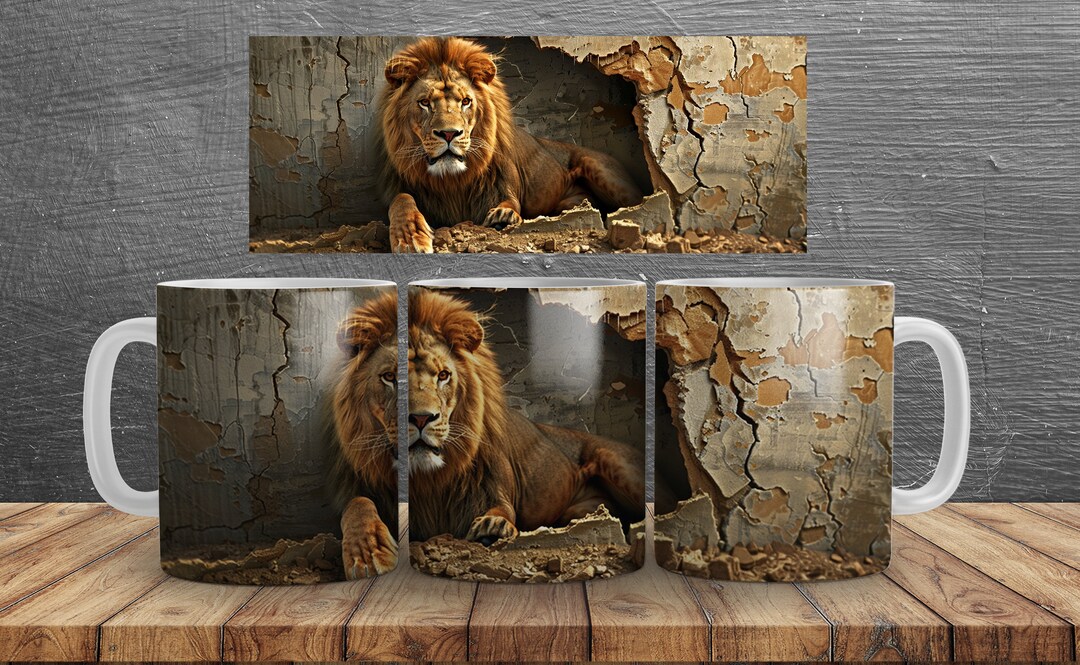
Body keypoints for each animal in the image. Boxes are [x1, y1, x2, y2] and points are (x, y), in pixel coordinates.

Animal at [377, 37, 645, 253]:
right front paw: (409, 236)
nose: (449, 133)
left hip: (599, 169)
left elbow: (510, 203)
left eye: (466, 101)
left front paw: (503, 216)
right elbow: (402, 200)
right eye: (424, 103)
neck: (452, 181)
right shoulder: (404, 187)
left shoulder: (503, 188)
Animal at [406, 289, 646, 545]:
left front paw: (493, 524)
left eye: (443, 375)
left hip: (613, 460)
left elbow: (502, 510)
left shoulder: (495, 492)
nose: (421, 419)